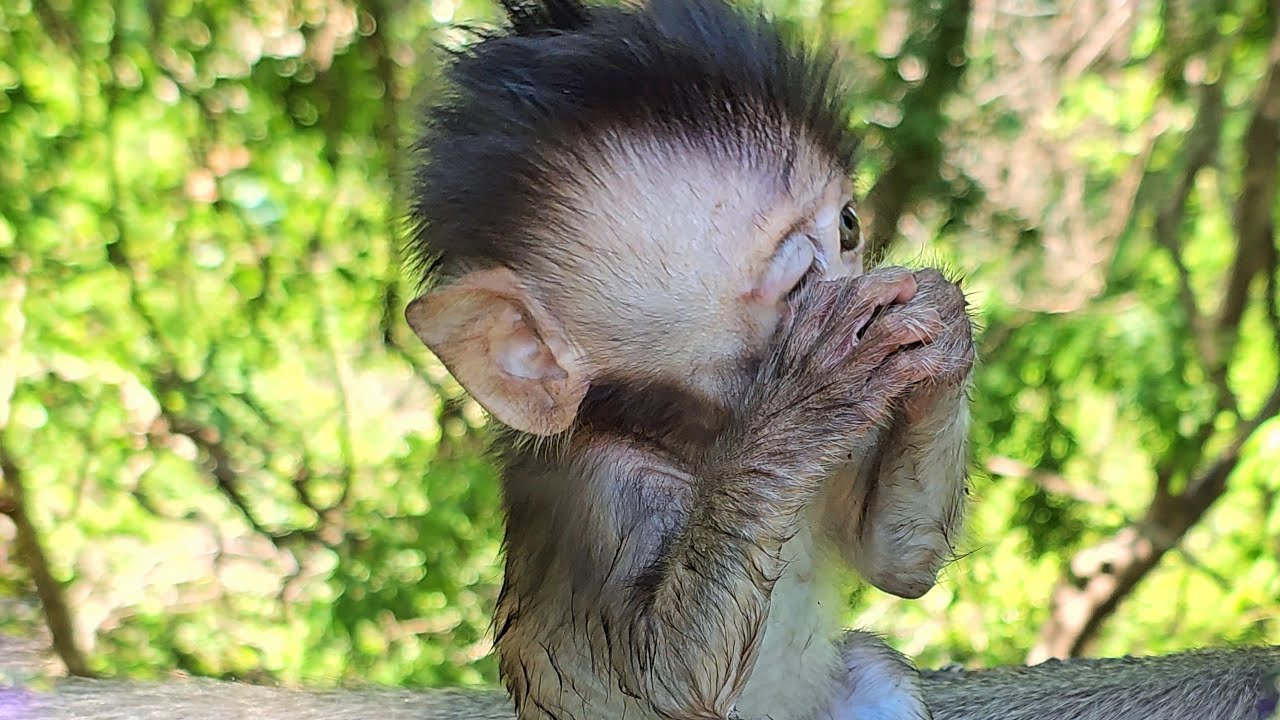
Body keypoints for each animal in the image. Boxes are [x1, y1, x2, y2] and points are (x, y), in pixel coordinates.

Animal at [402, 0, 974, 718]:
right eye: (798, 288)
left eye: (848, 227)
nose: (868, 291)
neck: (695, 448)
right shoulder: (605, 493)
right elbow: (668, 678)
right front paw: (810, 397)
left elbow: (897, 560)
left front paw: (942, 321)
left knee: (874, 669)